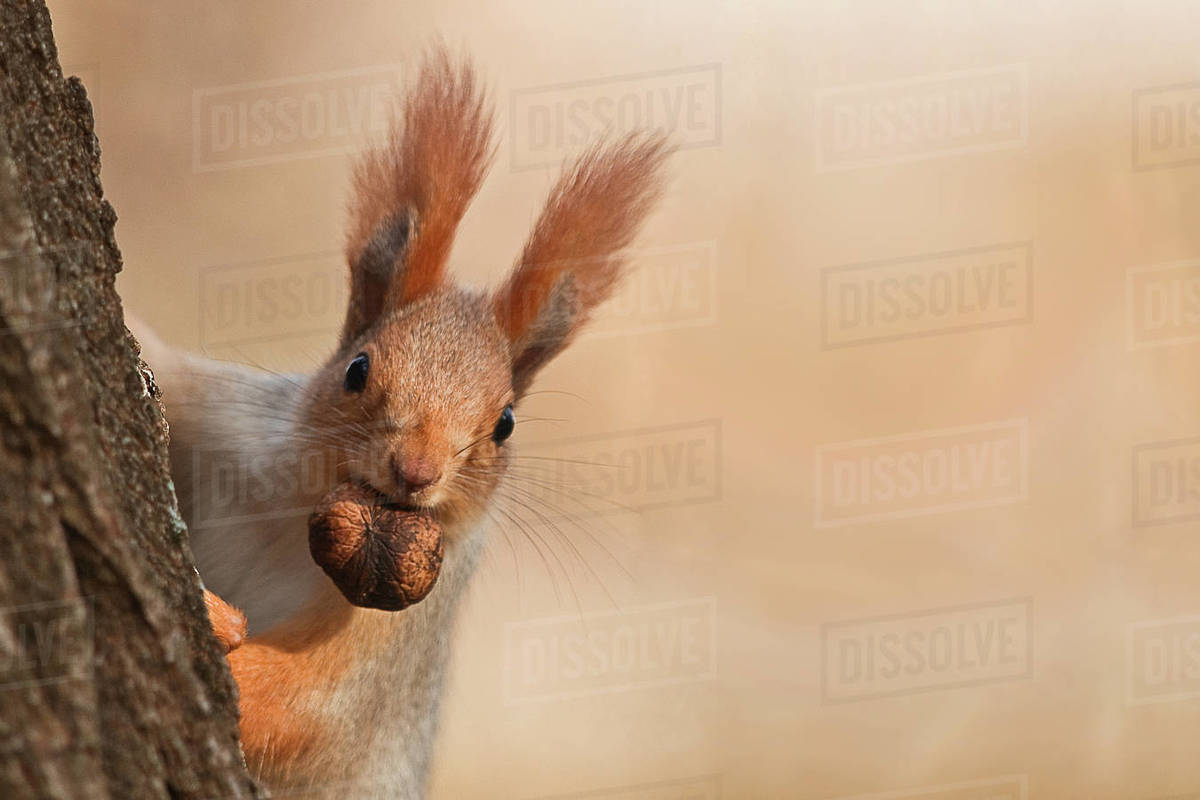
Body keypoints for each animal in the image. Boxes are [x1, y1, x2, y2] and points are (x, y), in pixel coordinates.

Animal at [131, 47, 669, 798]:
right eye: (357, 370)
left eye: (505, 424)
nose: (416, 471)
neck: (296, 515)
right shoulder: (227, 421)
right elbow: (163, 367)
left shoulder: (401, 631)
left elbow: (306, 704)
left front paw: (218, 630)